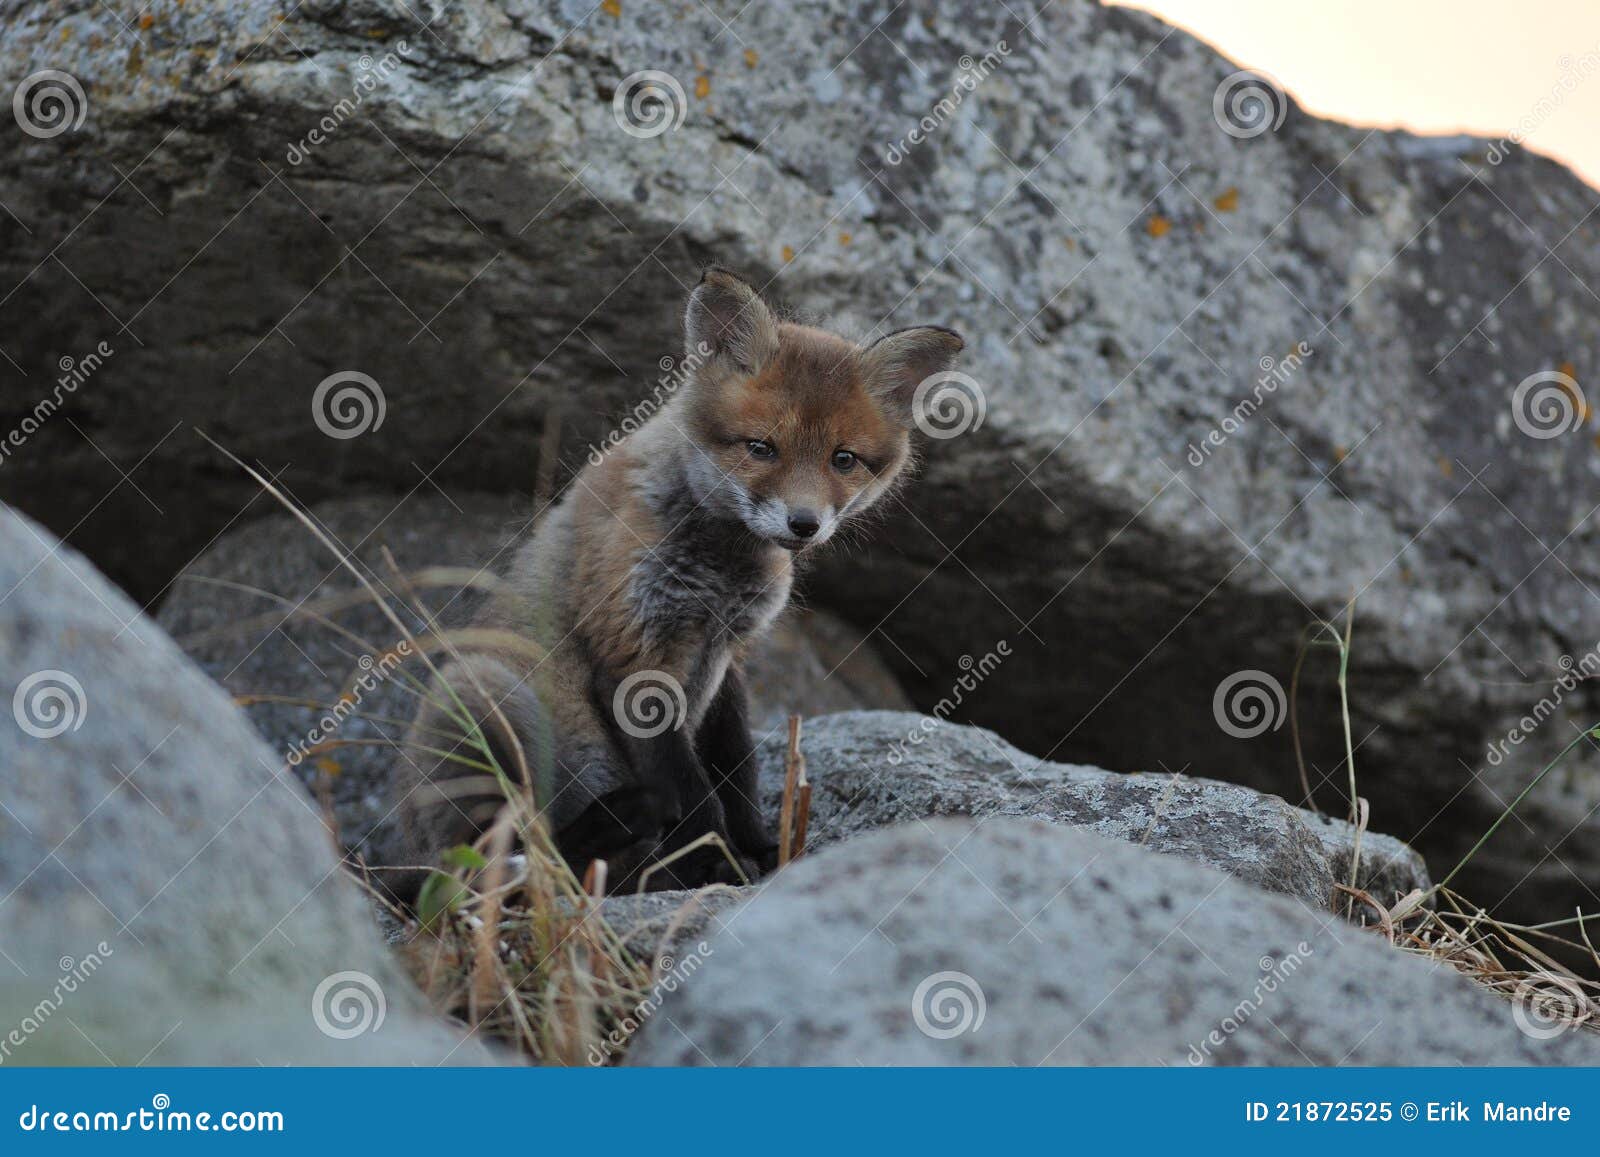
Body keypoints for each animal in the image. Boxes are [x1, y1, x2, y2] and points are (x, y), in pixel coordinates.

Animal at [385, 267, 963, 897]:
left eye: (843, 459)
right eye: (761, 448)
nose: (804, 524)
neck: (720, 573)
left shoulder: (728, 654)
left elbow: (737, 772)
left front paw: (762, 848)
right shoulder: (636, 652)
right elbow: (693, 792)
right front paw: (719, 863)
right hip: (481, 694)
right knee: (500, 861)